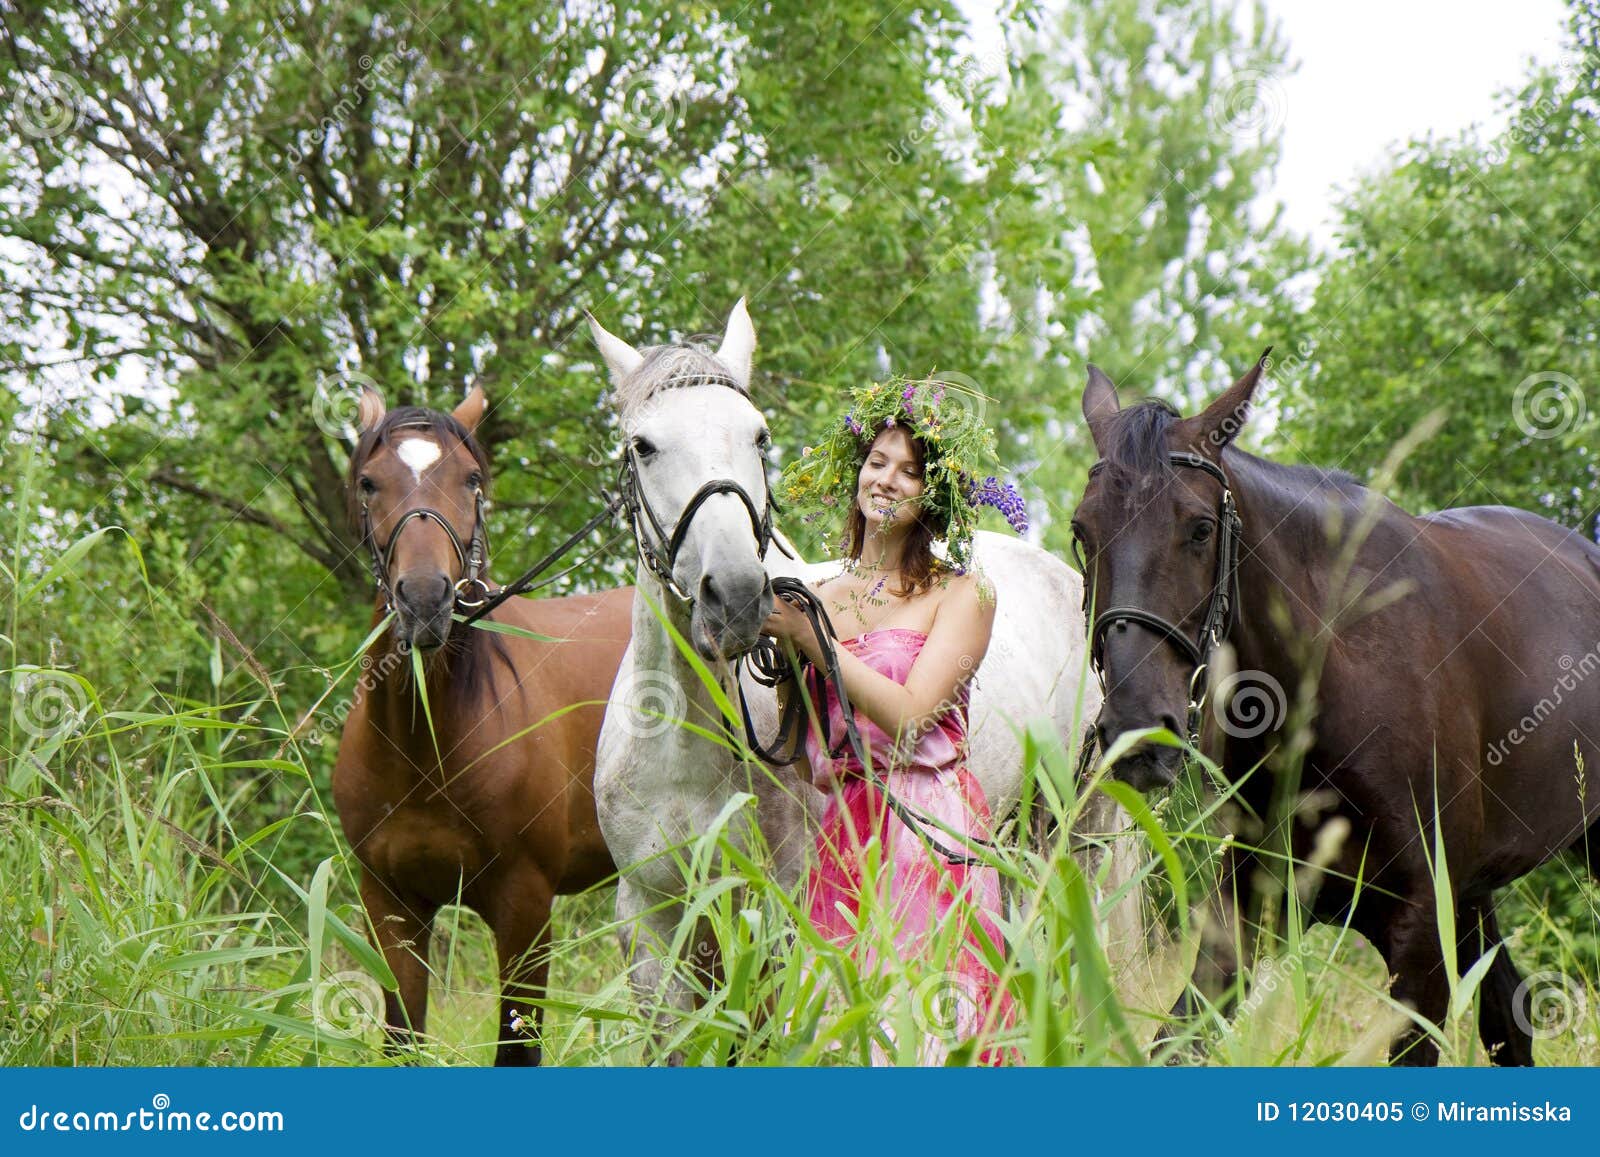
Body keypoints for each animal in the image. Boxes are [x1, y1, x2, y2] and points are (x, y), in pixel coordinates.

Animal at [332, 386, 632, 1065]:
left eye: (471, 480)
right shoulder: (392, 905)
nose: (424, 599)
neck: (426, 747)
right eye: (367, 482)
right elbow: (402, 1039)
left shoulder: (526, 906)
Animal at [588, 300, 1137, 1058]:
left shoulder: (785, 915)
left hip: (1079, 838)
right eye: (643, 445)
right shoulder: (651, 925)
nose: (736, 594)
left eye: (759, 436)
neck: (685, 753)